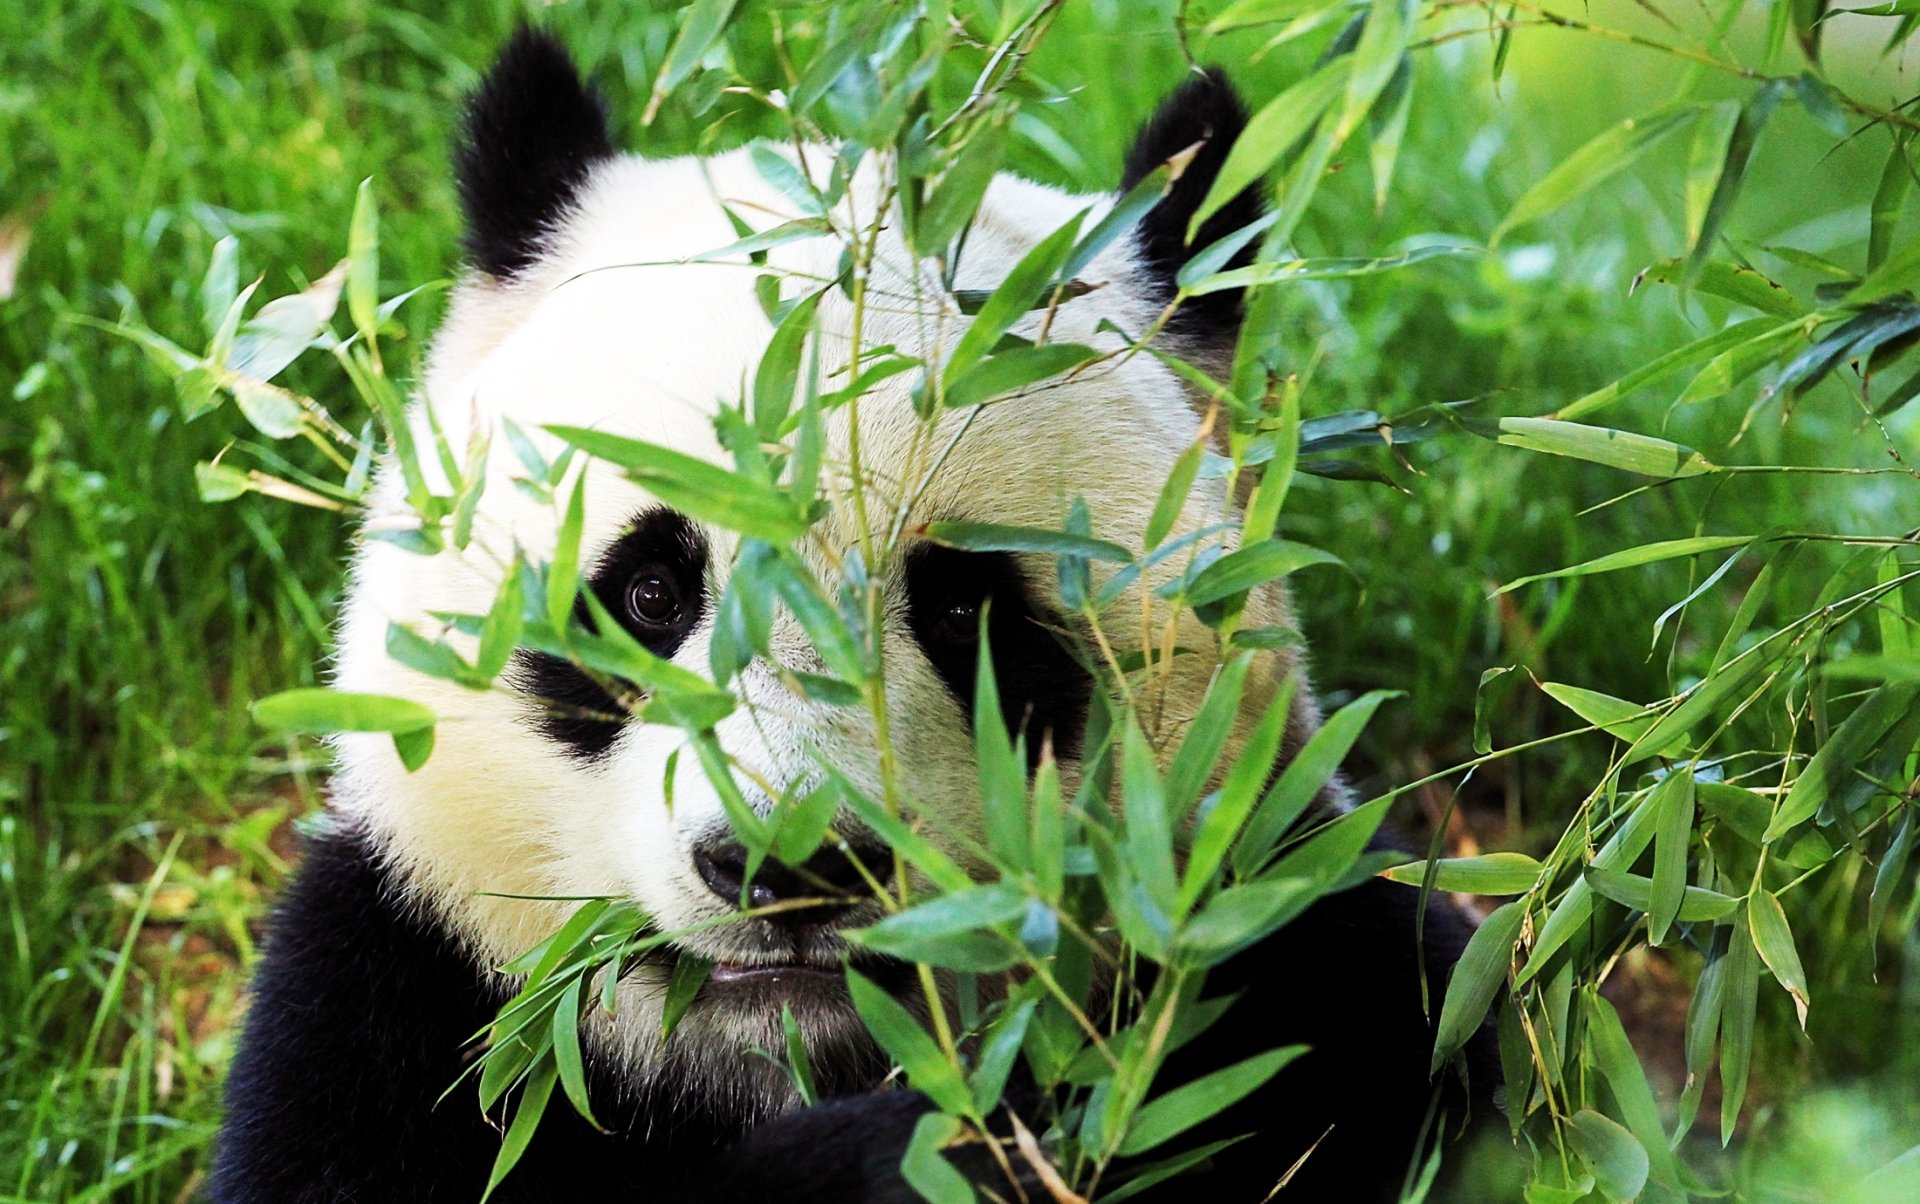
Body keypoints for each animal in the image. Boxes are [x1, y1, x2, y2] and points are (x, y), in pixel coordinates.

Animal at [212, 27, 1499, 1204]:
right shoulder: (403, 986)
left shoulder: (1292, 935)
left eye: (964, 605)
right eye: (649, 593)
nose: (789, 859)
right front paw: (917, 1159)